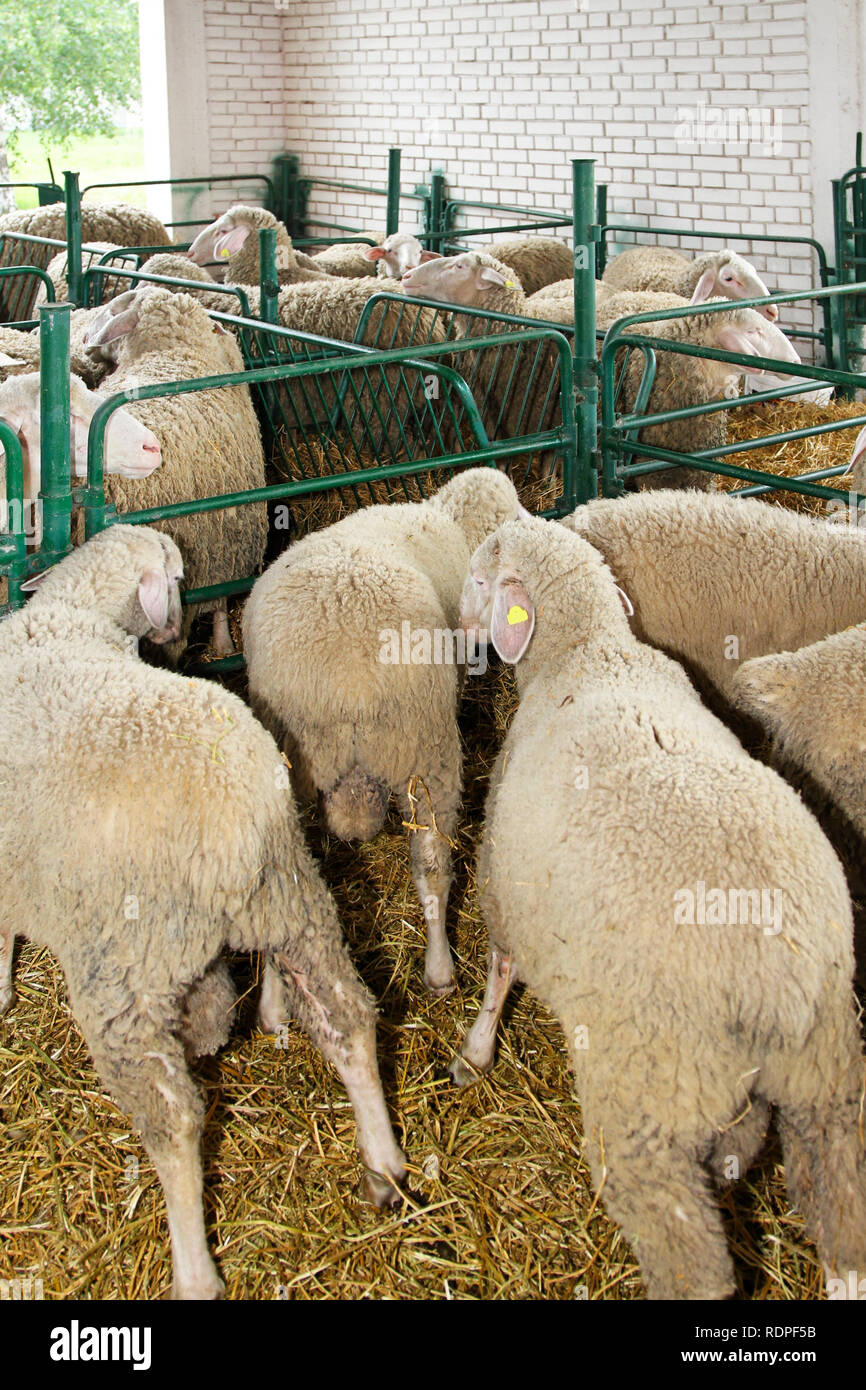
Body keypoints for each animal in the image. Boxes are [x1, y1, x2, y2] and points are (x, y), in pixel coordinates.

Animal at [0, 524, 407, 1298]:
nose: (172, 631)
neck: (71, 617)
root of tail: (233, 829)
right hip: (292, 901)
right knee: (346, 1017)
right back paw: (385, 1164)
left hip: (121, 974)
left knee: (175, 1121)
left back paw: (194, 1270)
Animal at [83, 287, 267, 657]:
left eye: (114, 308)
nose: (84, 338)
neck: (172, 352)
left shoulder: (224, 541)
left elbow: (219, 603)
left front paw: (223, 644)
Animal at [243, 467, 527, 994]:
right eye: (515, 514)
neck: (447, 521)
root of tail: (348, 686)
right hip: (428, 750)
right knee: (432, 864)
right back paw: (439, 969)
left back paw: (271, 1000)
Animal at [453, 514, 866, 1300]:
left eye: (482, 578)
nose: (456, 628)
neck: (589, 652)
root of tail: (773, 983)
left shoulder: (500, 881)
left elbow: (500, 966)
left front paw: (475, 1052)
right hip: (828, 1080)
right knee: (842, 1223)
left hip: (647, 1103)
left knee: (690, 1259)